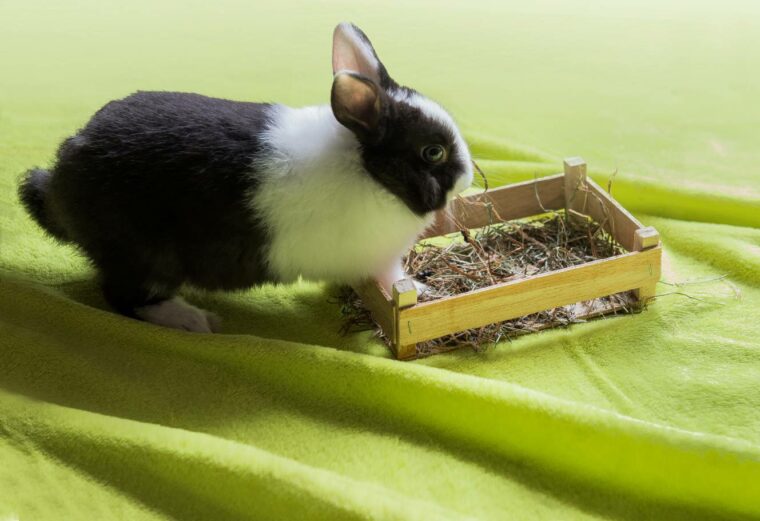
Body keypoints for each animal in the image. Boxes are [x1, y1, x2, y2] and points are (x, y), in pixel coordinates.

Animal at [17, 22, 474, 333]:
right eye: (433, 152)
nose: (468, 177)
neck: (369, 172)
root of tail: (58, 180)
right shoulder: (376, 259)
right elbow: (393, 279)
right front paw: (421, 290)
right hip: (142, 256)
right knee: (125, 297)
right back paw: (194, 320)